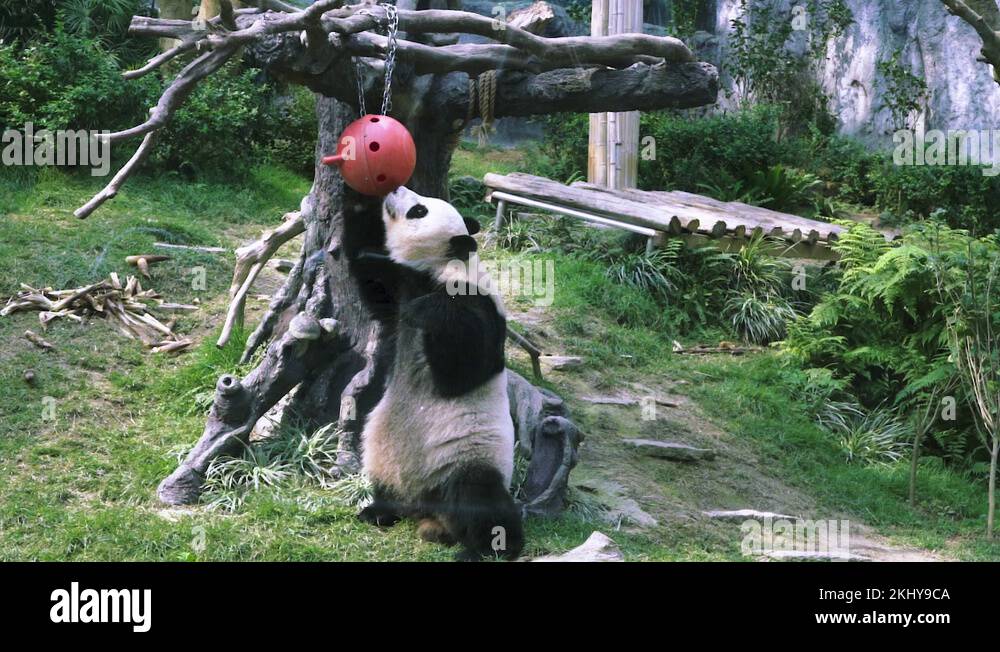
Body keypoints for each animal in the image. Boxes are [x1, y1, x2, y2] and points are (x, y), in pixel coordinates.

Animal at [348, 186, 523, 561]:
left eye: (419, 210)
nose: (395, 189)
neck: (442, 268)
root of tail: (429, 511)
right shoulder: (398, 290)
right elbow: (372, 286)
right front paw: (356, 204)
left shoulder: (479, 304)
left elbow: (463, 369)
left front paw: (426, 310)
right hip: (384, 451)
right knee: (384, 483)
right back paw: (379, 511)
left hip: (467, 457)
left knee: (481, 500)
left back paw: (489, 549)